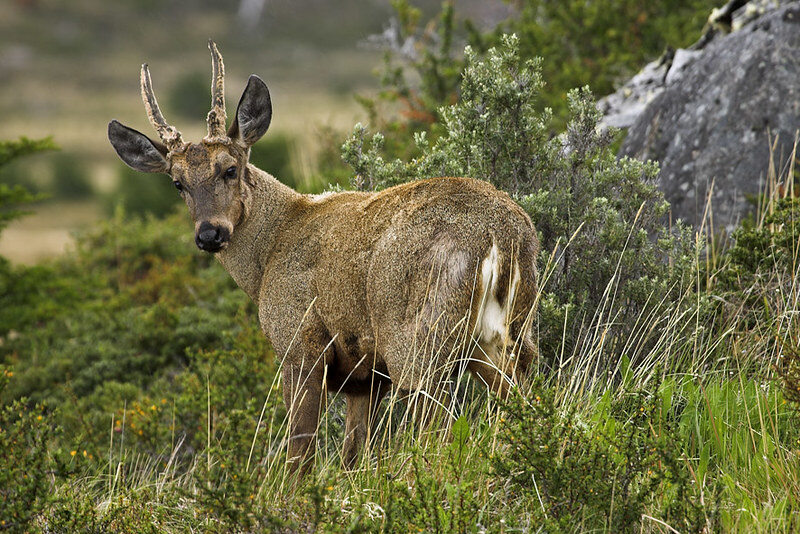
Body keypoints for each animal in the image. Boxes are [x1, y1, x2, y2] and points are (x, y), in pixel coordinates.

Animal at [108, 41, 540, 477]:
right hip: (507, 333)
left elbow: (300, 454)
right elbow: (353, 455)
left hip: (418, 338)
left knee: (437, 430)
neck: (271, 251)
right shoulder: (364, 378)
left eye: (229, 169)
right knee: (526, 401)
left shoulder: (300, 346)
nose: (209, 234)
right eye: (177, 183)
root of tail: (499, 232)